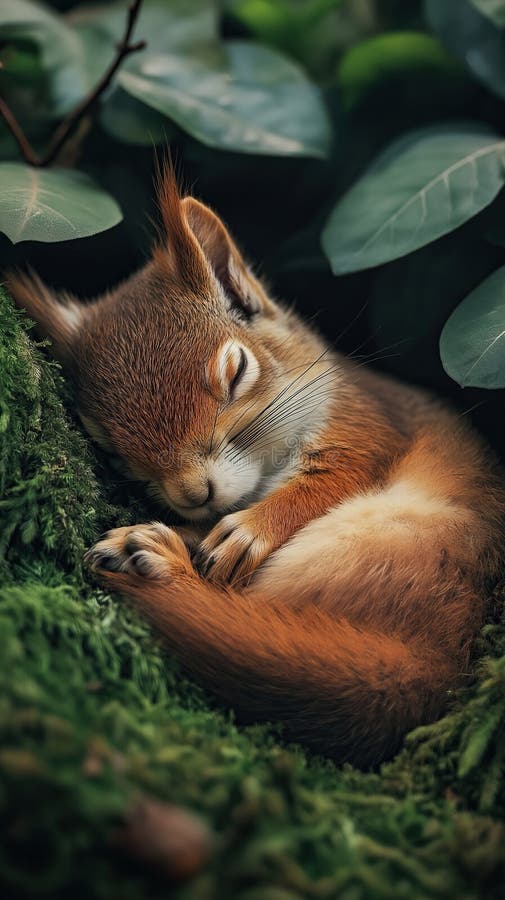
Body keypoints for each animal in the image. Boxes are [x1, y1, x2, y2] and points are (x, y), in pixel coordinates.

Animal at [8, 170, 505, 767]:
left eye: (236, 370)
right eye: (107, 448)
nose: (193, 494)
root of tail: (437, 656)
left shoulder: (366, 424)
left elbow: (336, 478)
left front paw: (246, 531)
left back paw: (170, 562)